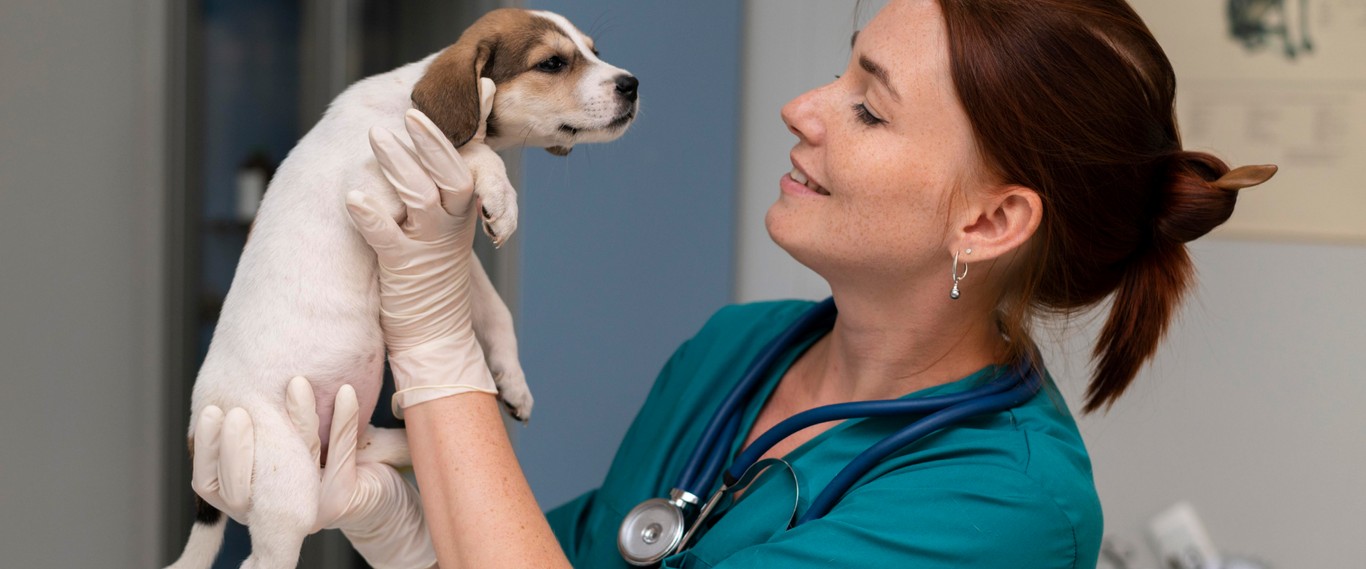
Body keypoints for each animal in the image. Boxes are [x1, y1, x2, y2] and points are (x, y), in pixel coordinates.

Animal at [165, 9, 637, 568]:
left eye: (594, 51)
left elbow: (496, 311)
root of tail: (200, 435)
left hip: (342, 451)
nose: (632, 84)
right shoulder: (374, 184)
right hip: (286, 485)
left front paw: (512, 380)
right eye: (552, 63)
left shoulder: (450, 245)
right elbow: (474, 151)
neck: (412, 104)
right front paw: (502, 192)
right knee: (259, 558)